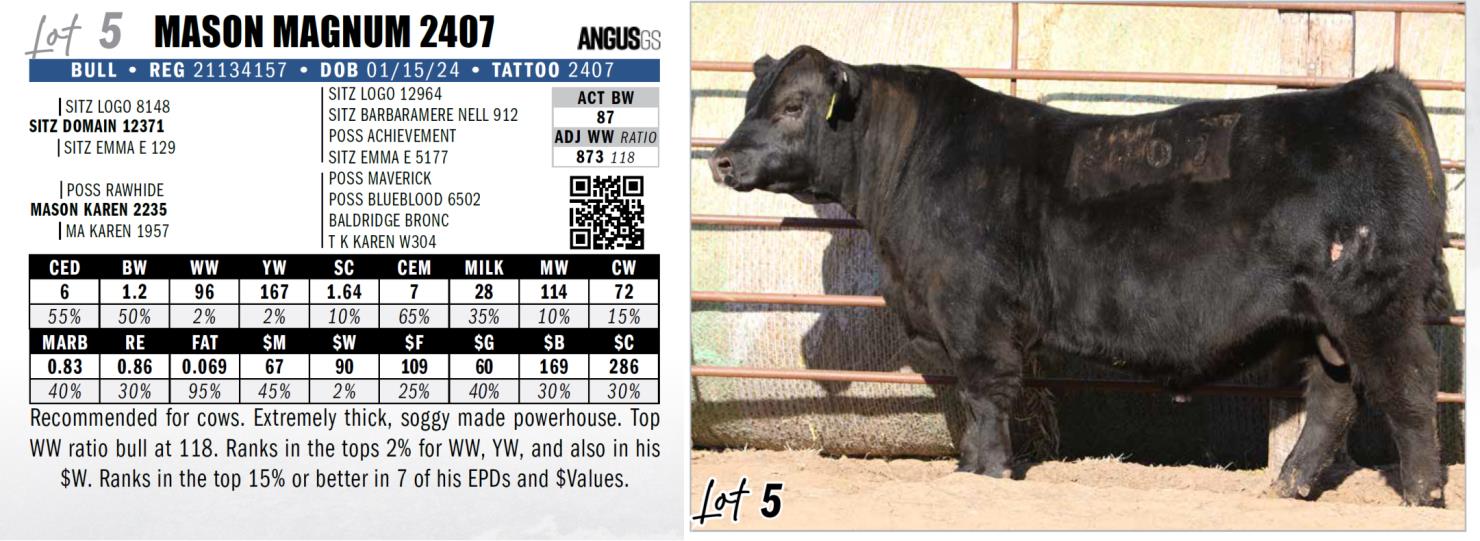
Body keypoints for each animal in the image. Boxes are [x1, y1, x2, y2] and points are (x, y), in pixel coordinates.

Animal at [707, 45, 1453, 507]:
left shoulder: (976, 315)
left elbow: (985, 396)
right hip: (1321, 316)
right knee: (1333, 397)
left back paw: (1423, 493)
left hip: (1374, 302)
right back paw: (1288, 485)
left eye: (794, 106)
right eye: (749, 100)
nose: (721, 159)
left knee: (1409, 386)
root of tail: (1366, 91)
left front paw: (986, 471)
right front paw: (973, 468)